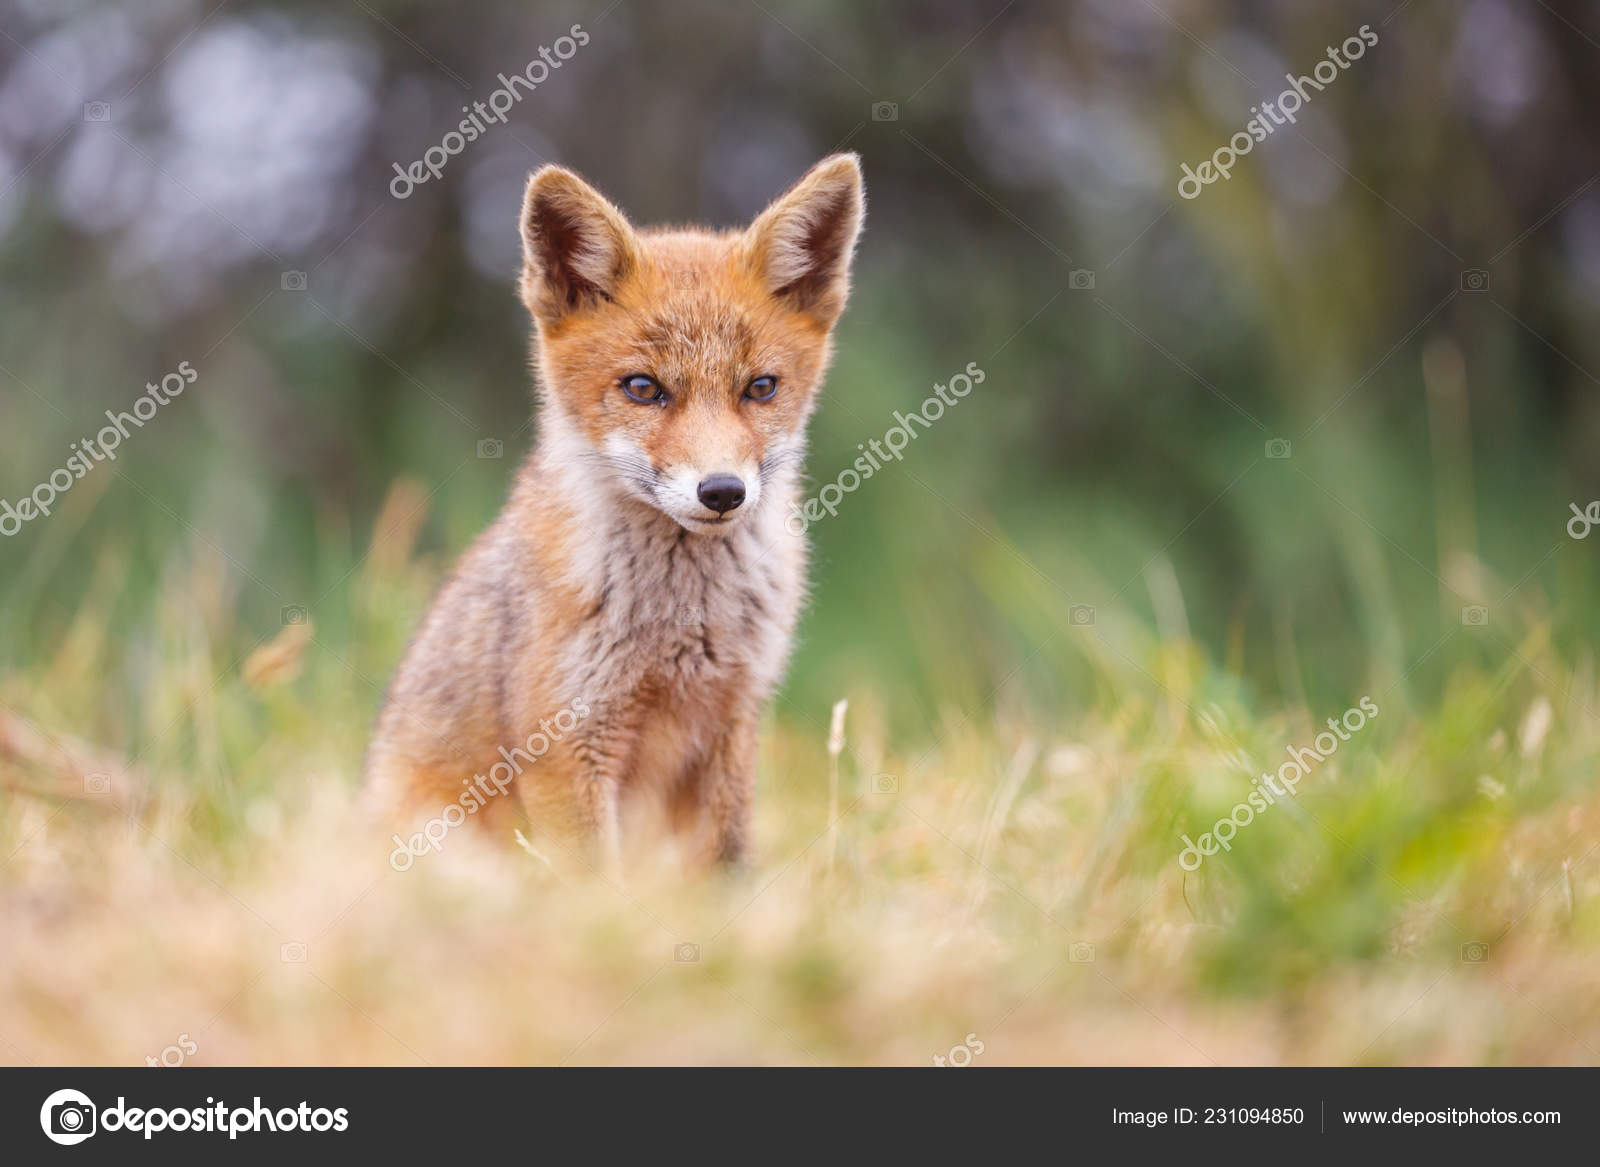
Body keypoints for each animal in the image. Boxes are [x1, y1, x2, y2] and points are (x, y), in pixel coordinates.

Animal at [365, 153, 865, 877]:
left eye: (760, 388)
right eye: (643, 388)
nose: (722, 491)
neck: (682, 626)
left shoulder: (733, 723)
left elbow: (726, 865)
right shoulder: (564, 742)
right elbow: (596, 883)